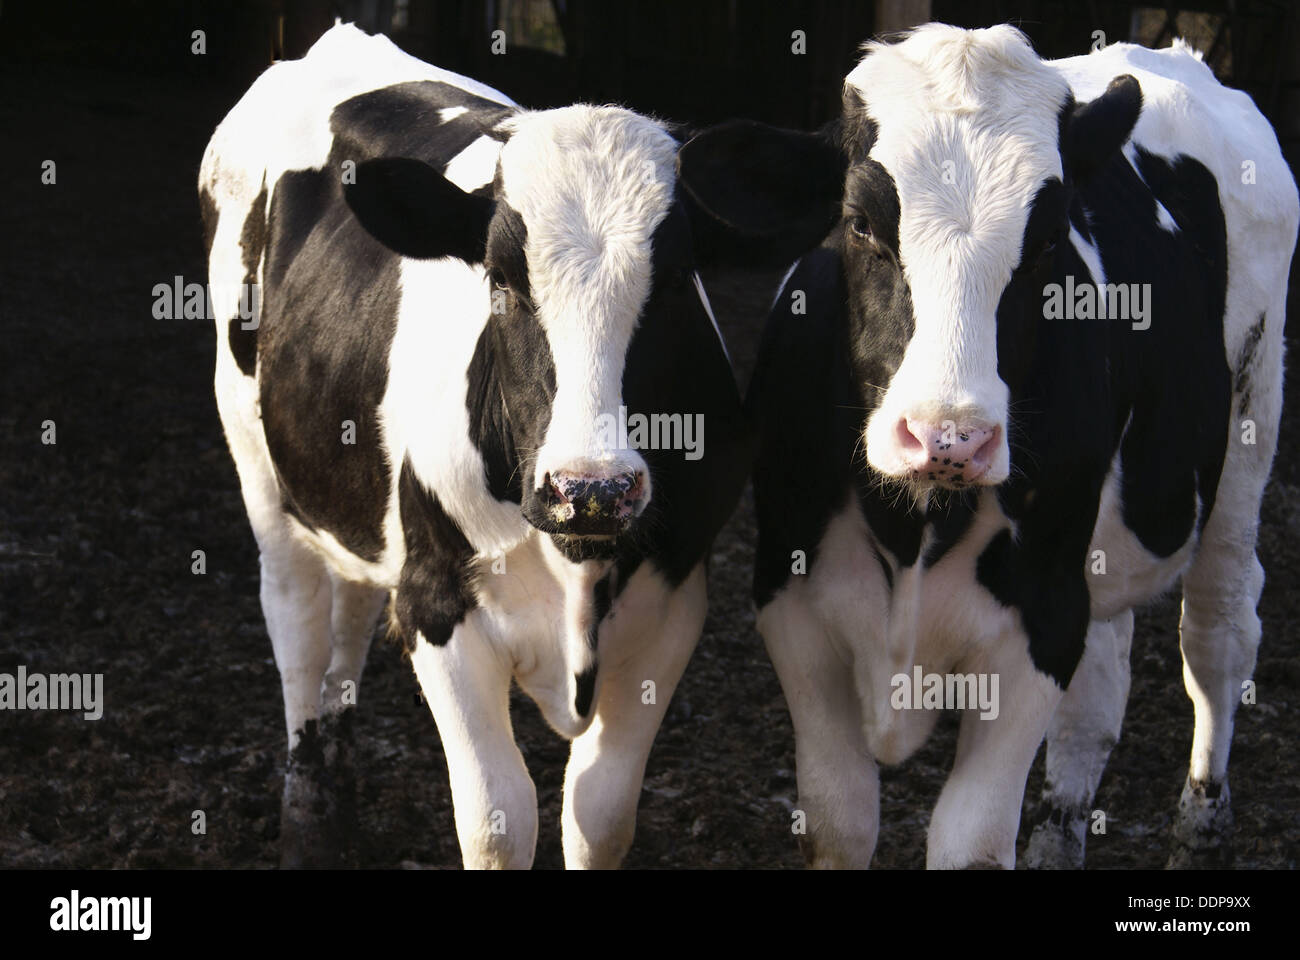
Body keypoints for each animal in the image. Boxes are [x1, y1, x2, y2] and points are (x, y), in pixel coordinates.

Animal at [198, 23, 818, 869]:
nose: (591, 488)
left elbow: (599, 814)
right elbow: (498, 818)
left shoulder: (675, 598)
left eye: (678, 280)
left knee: (350, 610)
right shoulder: (438, 602)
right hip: (257, 464)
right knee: (297, 621)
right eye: (500, 279)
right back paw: (307, 819)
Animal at [677, 24, 1299, 868]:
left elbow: (968, 839)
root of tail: (1173, 55)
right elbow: (840, 819)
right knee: (1102, 687)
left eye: (1048, 239)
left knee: (1220, 629)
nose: (950, 437)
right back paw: (1059, 834)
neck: (915, 526)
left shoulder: (1040, 618)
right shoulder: (790, 599)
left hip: (1249, 425)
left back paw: (1201, 822)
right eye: (860, 223)